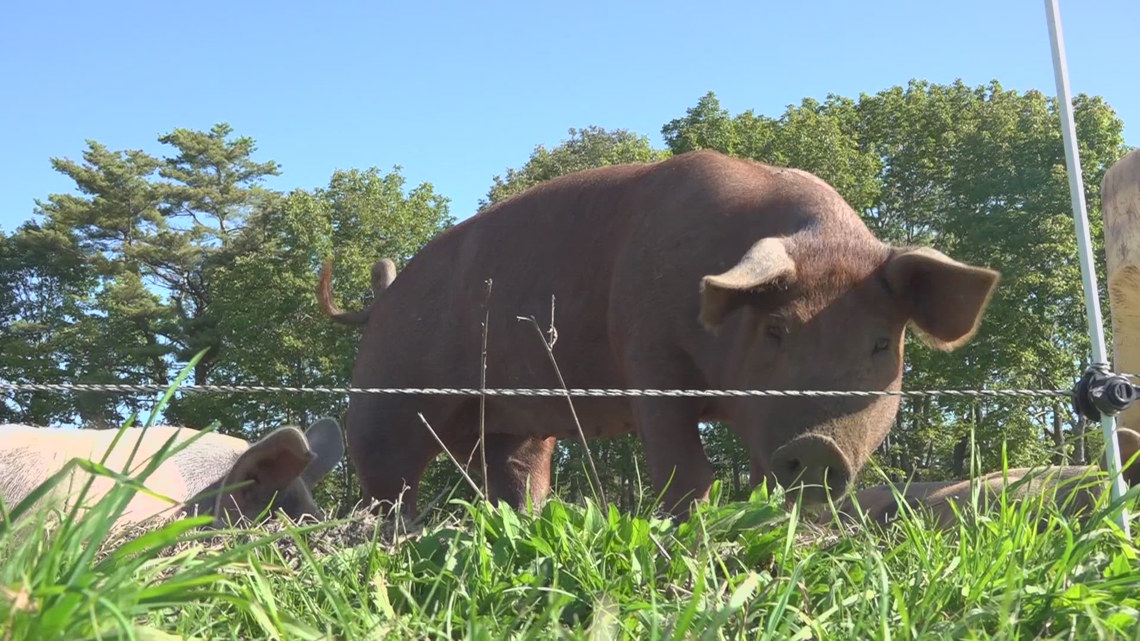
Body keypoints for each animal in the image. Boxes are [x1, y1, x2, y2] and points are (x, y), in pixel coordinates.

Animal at [320, 149, 1000, 520]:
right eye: (776, 329)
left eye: (882, 343)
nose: (817, 446)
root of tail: (382, 298)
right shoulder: (648, 356)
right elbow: (683, 467)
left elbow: (758, 478)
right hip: (382, 396)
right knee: (387, 480)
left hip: (515, 419)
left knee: (515, 476)